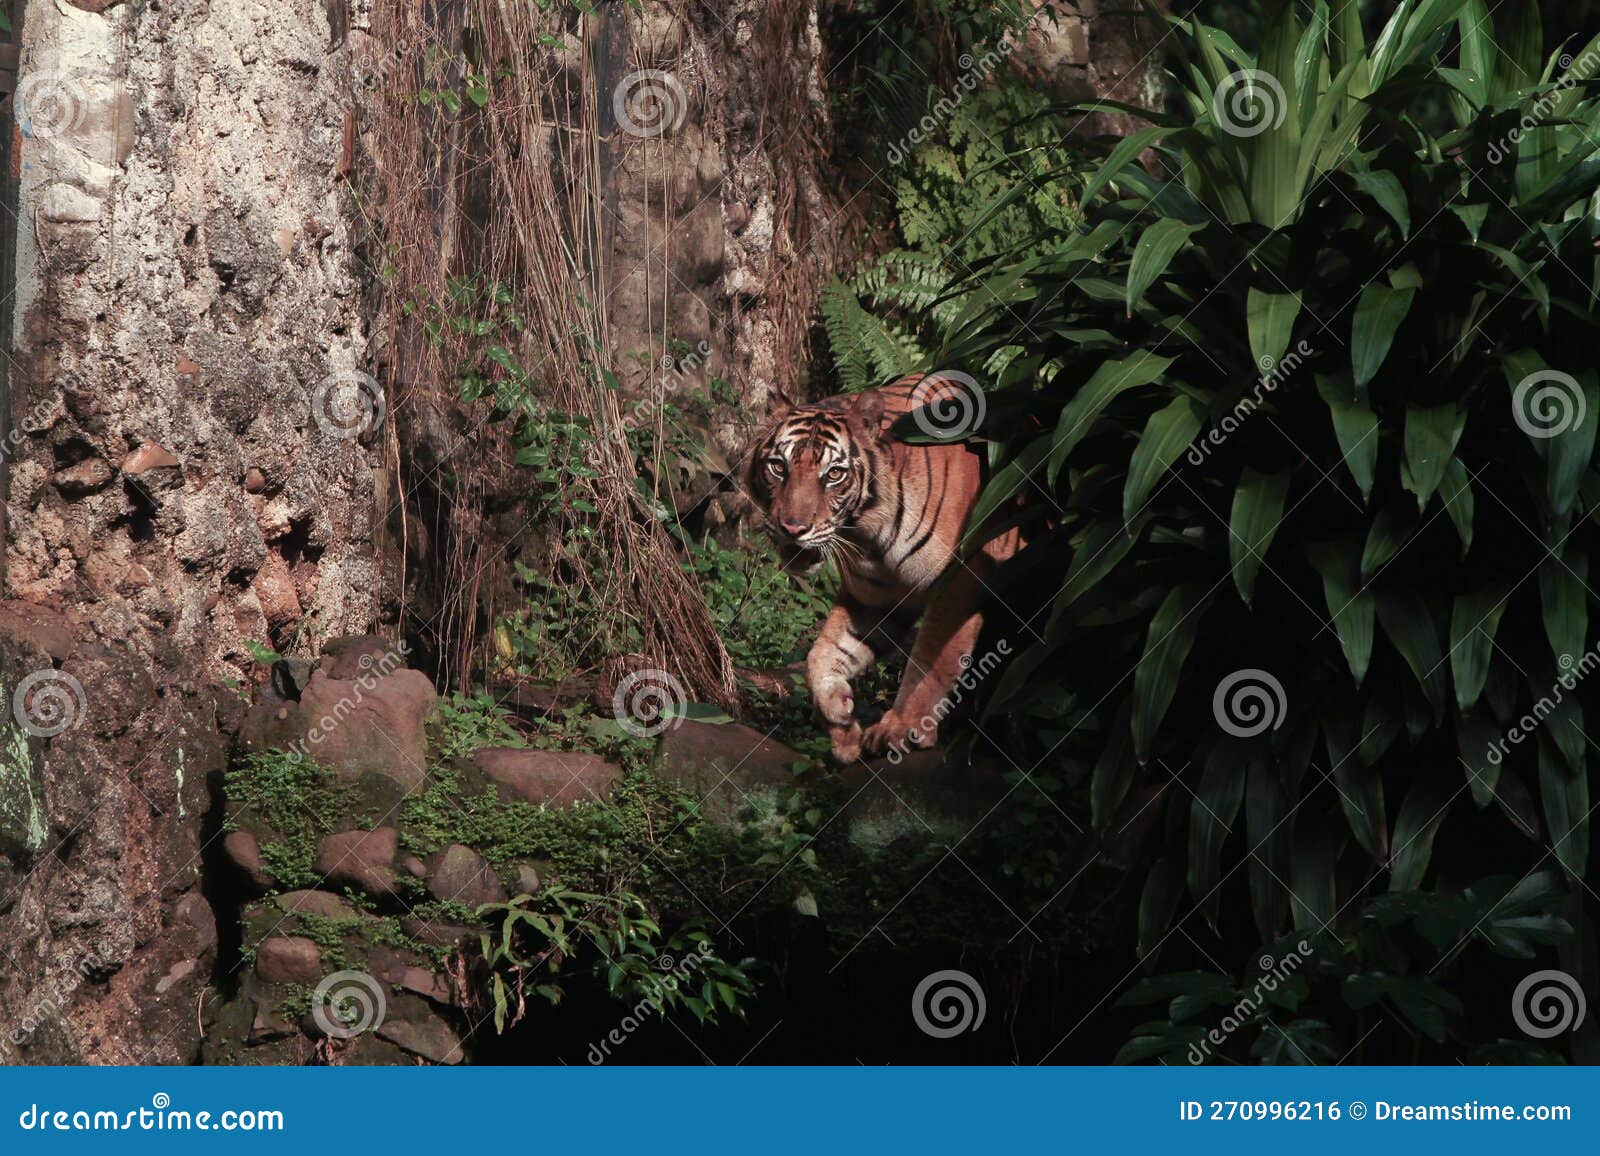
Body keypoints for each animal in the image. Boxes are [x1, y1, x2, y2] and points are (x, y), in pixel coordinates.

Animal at [745, 373, 1022, 763]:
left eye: (833, 474)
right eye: (778, 467)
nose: (792, 528)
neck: (868, 535)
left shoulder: (960, 580)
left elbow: (931, 661)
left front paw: (901, 727)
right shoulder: (875, 600)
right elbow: (823, 654)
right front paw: (840, 722)